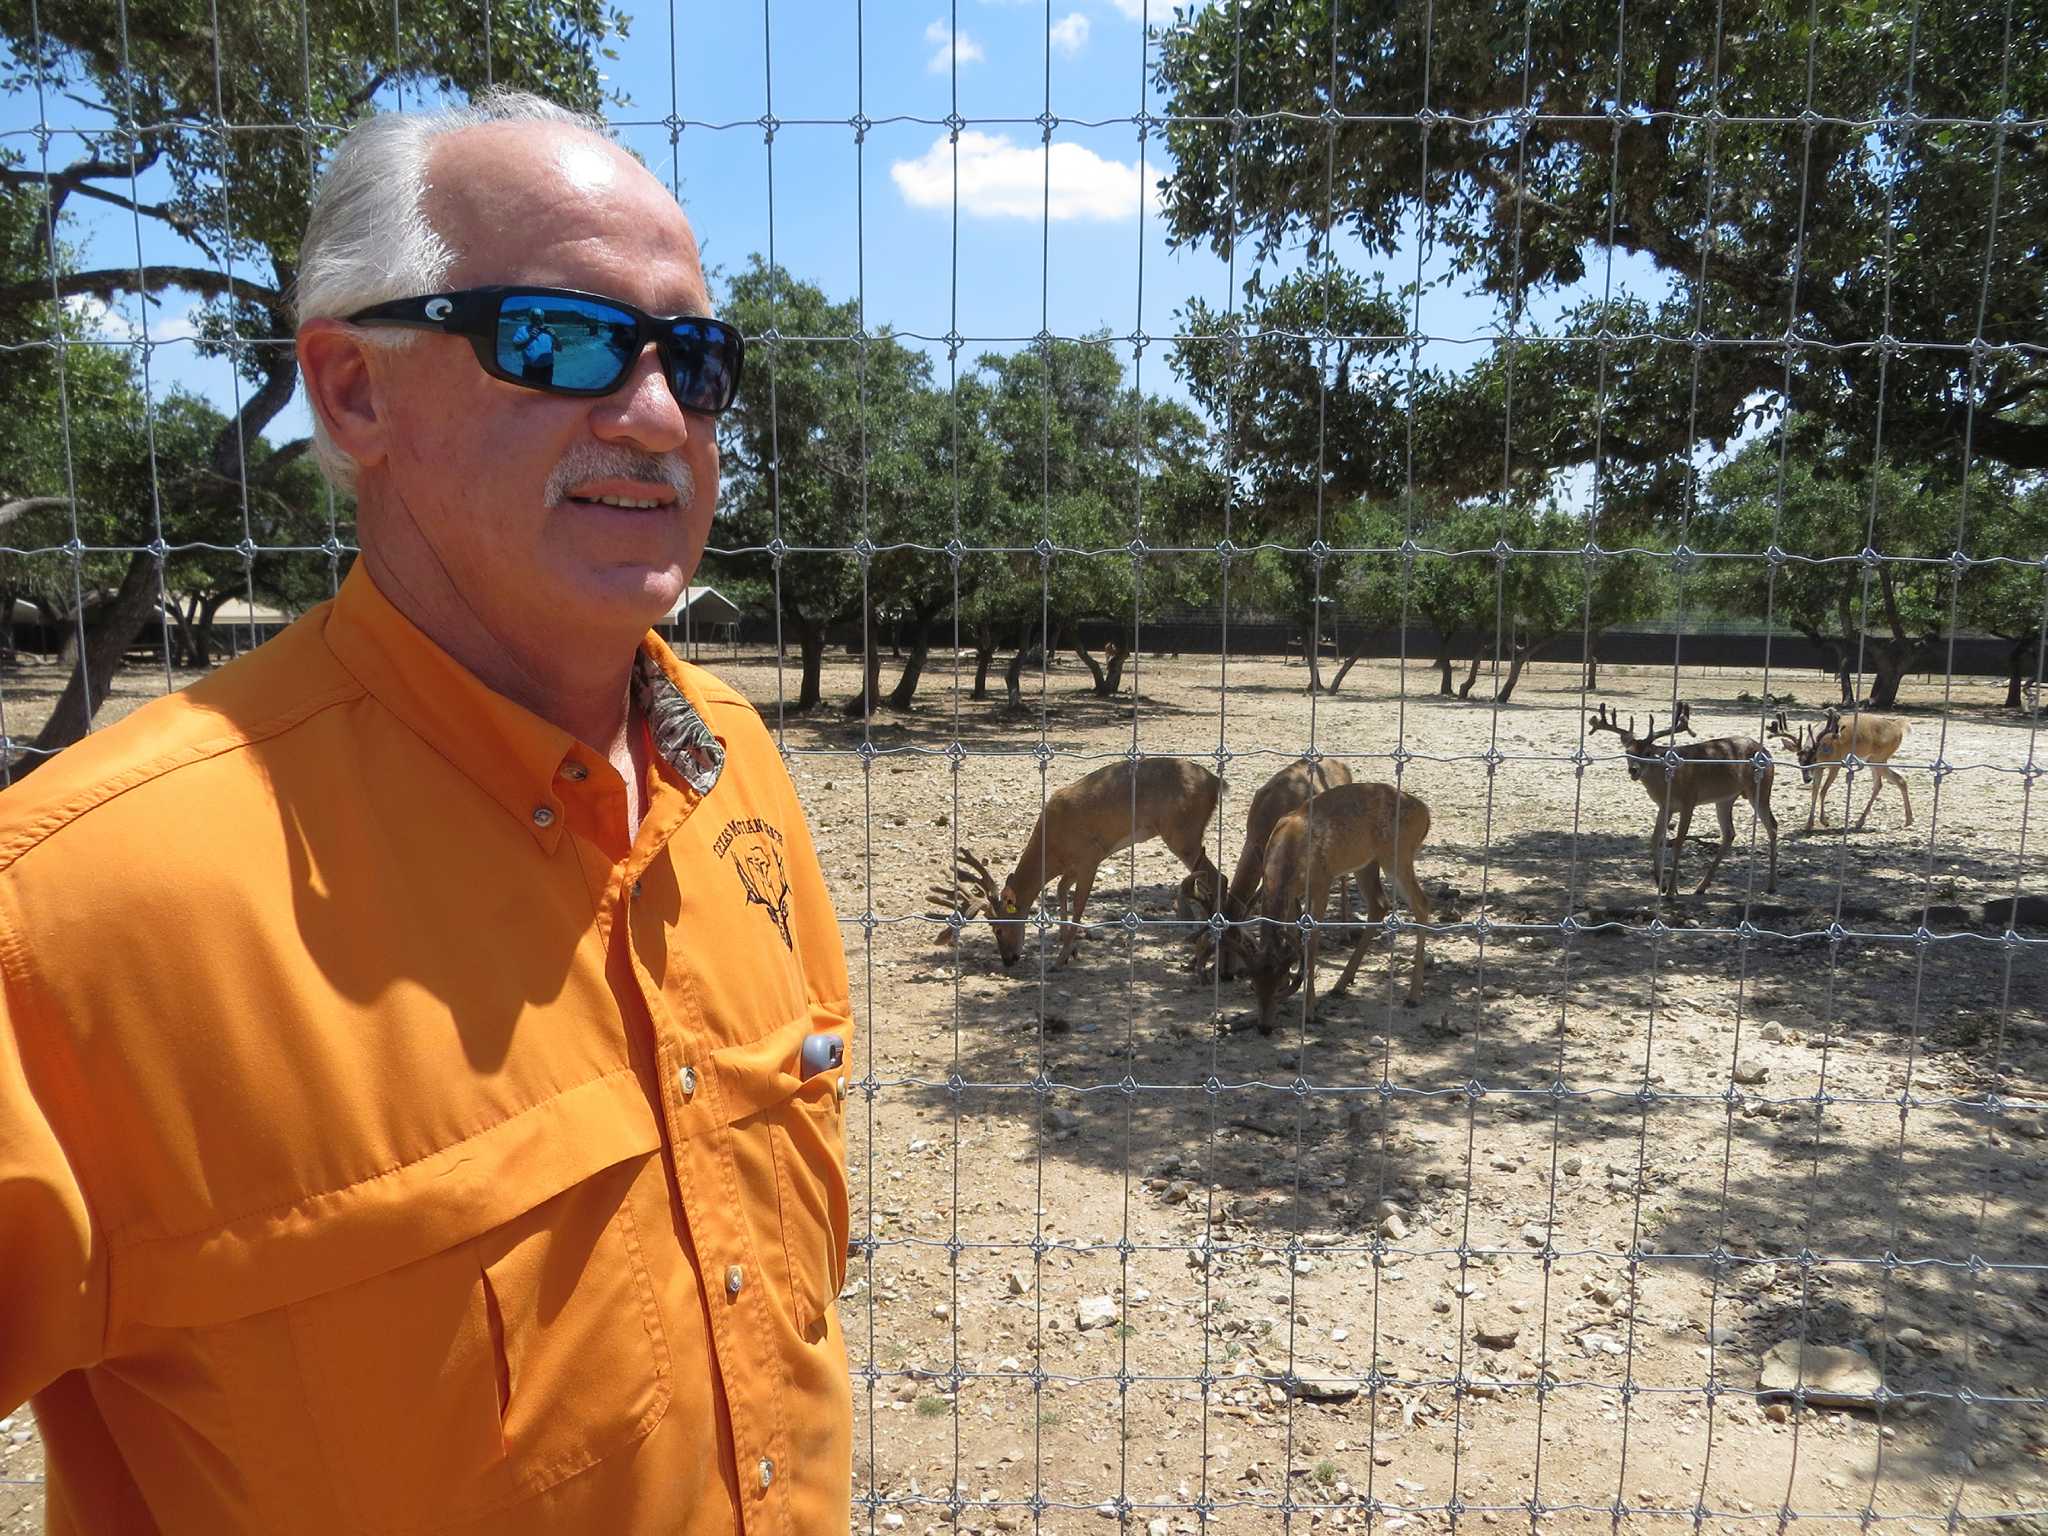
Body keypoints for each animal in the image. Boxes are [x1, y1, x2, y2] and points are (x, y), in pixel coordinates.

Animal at [935, 757, 1223, 970]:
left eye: (998, 928)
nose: (1008, 960)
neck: (1052, 846)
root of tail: (1217, 783)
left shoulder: (1089, 858)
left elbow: (1078, 907)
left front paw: (1059, 960)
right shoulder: (1073, 864)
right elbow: (1062, 889)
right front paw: (1070, 948)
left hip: (1183, 834)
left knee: (1217, 877)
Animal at [1230, 781, 1435, 1033]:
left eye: (1276, 985)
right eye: (1255, 983)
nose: (1264, 1027)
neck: (1290, 852)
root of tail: (1425, 812)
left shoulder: (1322, 882)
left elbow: (1312, 940)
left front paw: (1309, 1009)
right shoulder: (1293, 895)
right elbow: (1292, 933)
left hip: (1398, 855)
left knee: (1421, 903)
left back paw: (1413, 996)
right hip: (1367, 863)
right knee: (1379, 903)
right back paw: (1340, 984)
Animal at [1587, 701, 1777, 899]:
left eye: (1648, 752)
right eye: (1628, 752)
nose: (1634, 770)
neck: (1670, 781)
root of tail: (1767, 753)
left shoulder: (1689, 800)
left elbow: (1678, 842)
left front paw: (1671, 891)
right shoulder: (1665, 806)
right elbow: (1655, 839)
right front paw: (1661, 884)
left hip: (1760, 790)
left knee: (1772, 826)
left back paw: (1771, 886)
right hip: (1726, 798)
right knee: (1729, 833)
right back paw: (1701, 886)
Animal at [1768, 707, 1912, 834]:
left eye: (1814, 758)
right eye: (1799, 758)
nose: (1807, 778)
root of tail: (1898, 728)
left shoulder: (1836, 764)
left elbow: (1823, 791)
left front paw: (1824, 821)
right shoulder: (1819, 769)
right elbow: (1814, 792)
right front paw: (1808, 825)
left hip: (1879, 758)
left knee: (1891, 781)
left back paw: (1906, 821)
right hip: (1874, 760)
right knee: (1890, 782)